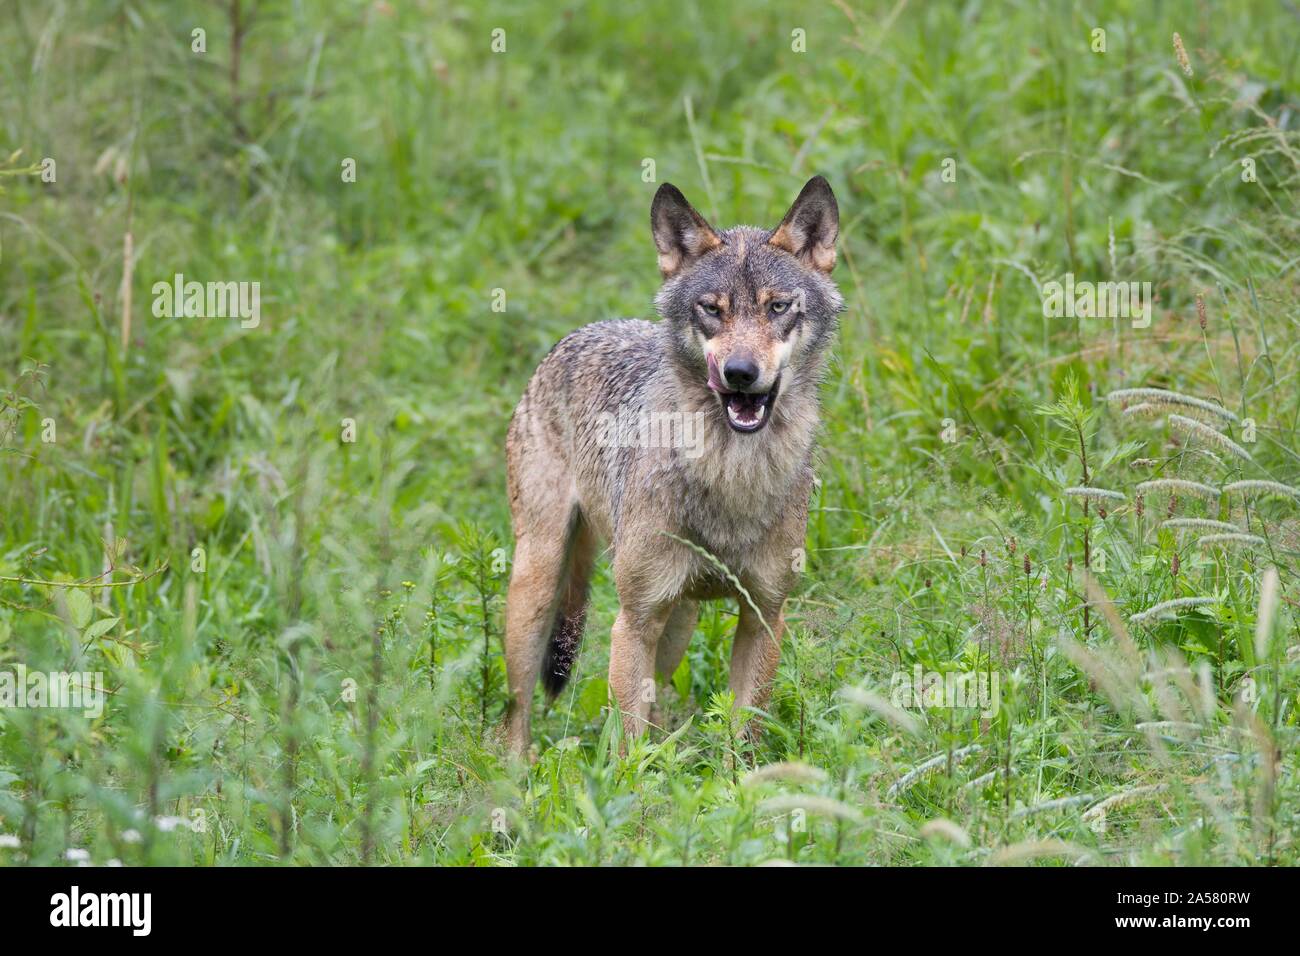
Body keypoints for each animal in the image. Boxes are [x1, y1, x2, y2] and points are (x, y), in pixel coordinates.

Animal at [503, 176, 843, 758]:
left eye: (778, 307)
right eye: (712, 309)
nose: (739, 372)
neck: (731, 474)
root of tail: (579, 333)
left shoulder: (764, 615)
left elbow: (742, 737)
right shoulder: (633, 620)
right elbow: (627, 751)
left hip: (678, 621)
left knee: (658, 705)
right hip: (538, 584)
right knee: (516, 710)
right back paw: (512, 772)